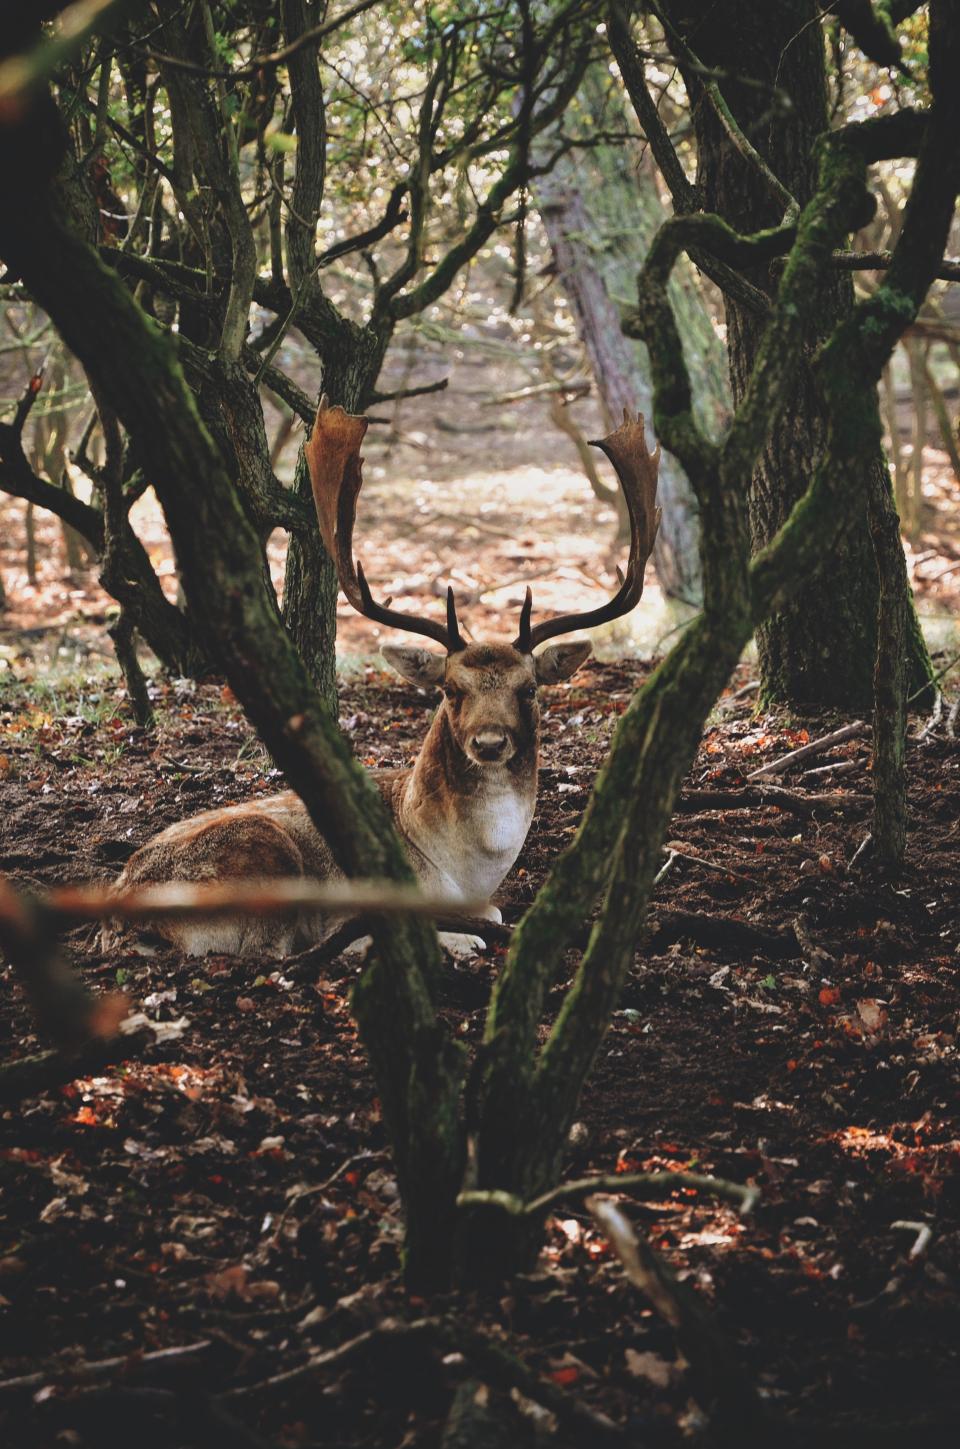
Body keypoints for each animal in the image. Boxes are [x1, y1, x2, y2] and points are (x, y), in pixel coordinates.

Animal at [105, 400, 660, 958]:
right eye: (450, 690)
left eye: (528, 689)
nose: (489, 742)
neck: (463, 874)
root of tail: (121, 913)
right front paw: (454, 937)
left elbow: (497, 911)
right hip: (261, 855)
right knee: (282, 949)